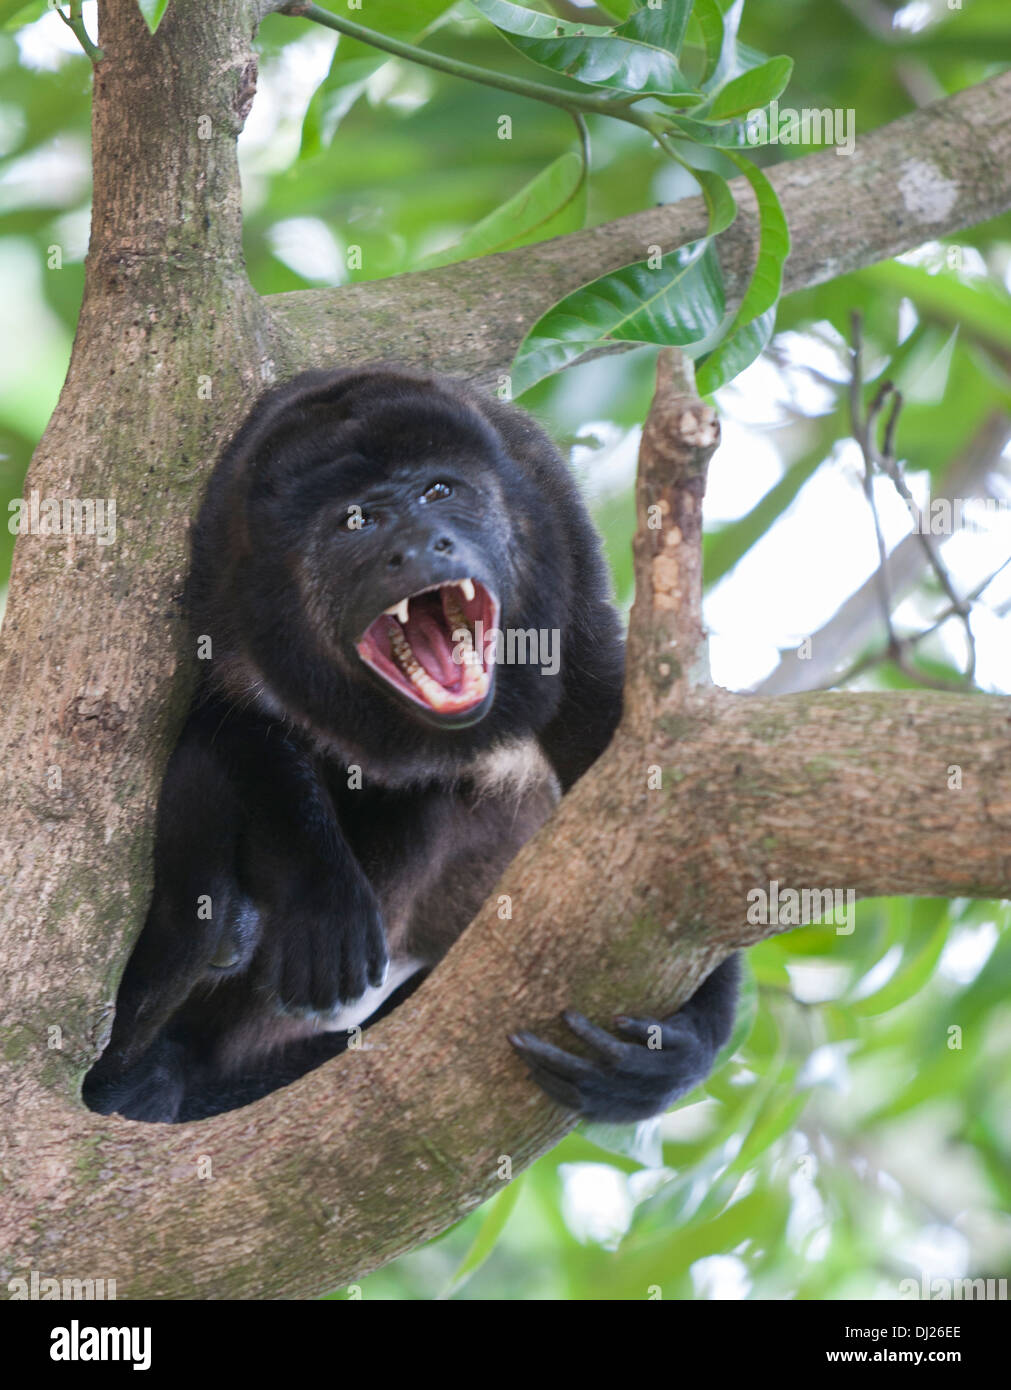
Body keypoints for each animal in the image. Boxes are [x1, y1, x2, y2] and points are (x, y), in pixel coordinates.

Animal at [83, 369, 739, 1128]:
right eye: (356, 522)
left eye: (438, 493)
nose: (424, 546)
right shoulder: (223, 573)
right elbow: (220, 730)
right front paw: (322, 896)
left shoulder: (556, 535)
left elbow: (617, 749)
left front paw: (695, 1032)